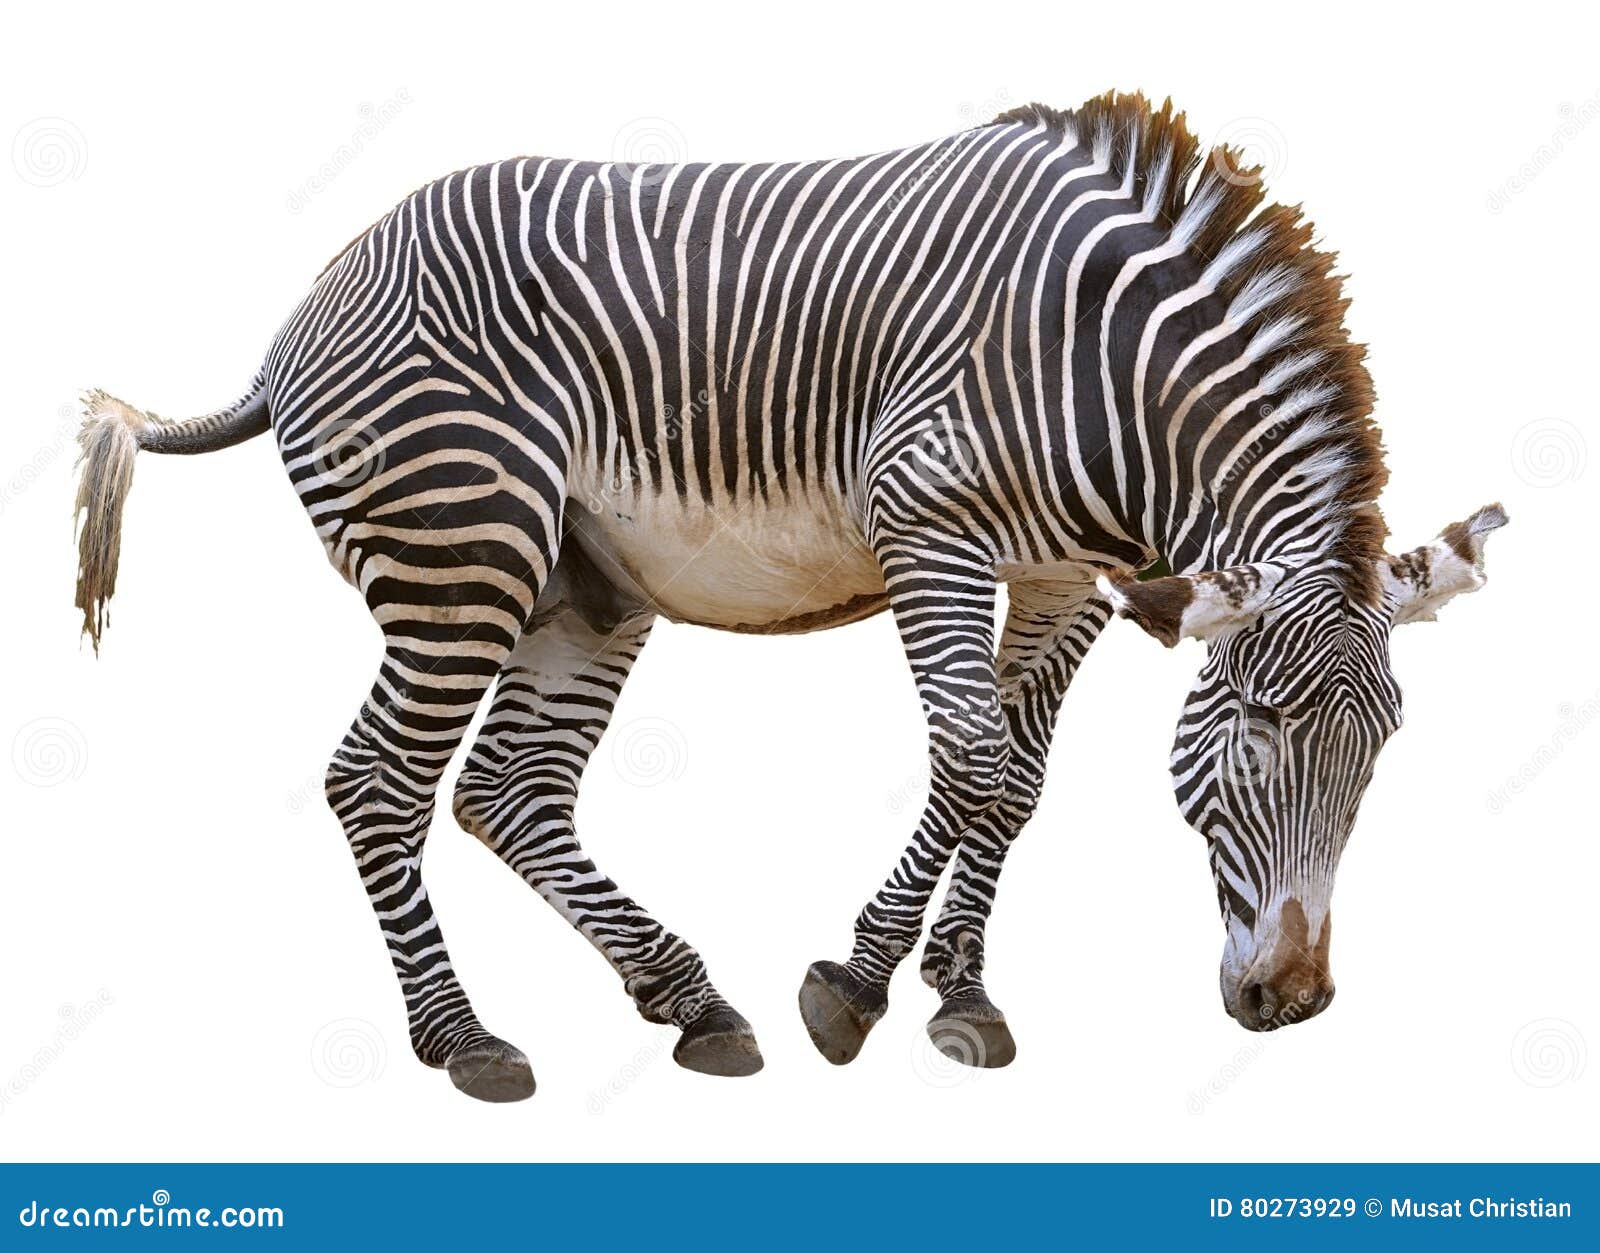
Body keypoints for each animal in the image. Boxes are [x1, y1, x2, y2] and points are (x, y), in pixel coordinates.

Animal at [73, 92, 1505, 1101]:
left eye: (1380, 752)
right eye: (1258, 731)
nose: (1292, 1003)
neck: (1107, 365)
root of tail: (307, 303)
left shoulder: (1067, 578)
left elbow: (1017, 782)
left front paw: (960, 995)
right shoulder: (929, 530)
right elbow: (971, 764)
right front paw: (857, 988)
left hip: (583, 584)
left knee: (506, 791)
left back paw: (691, 1001)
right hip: (461, 550)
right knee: (377, 780)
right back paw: (466, 1039)